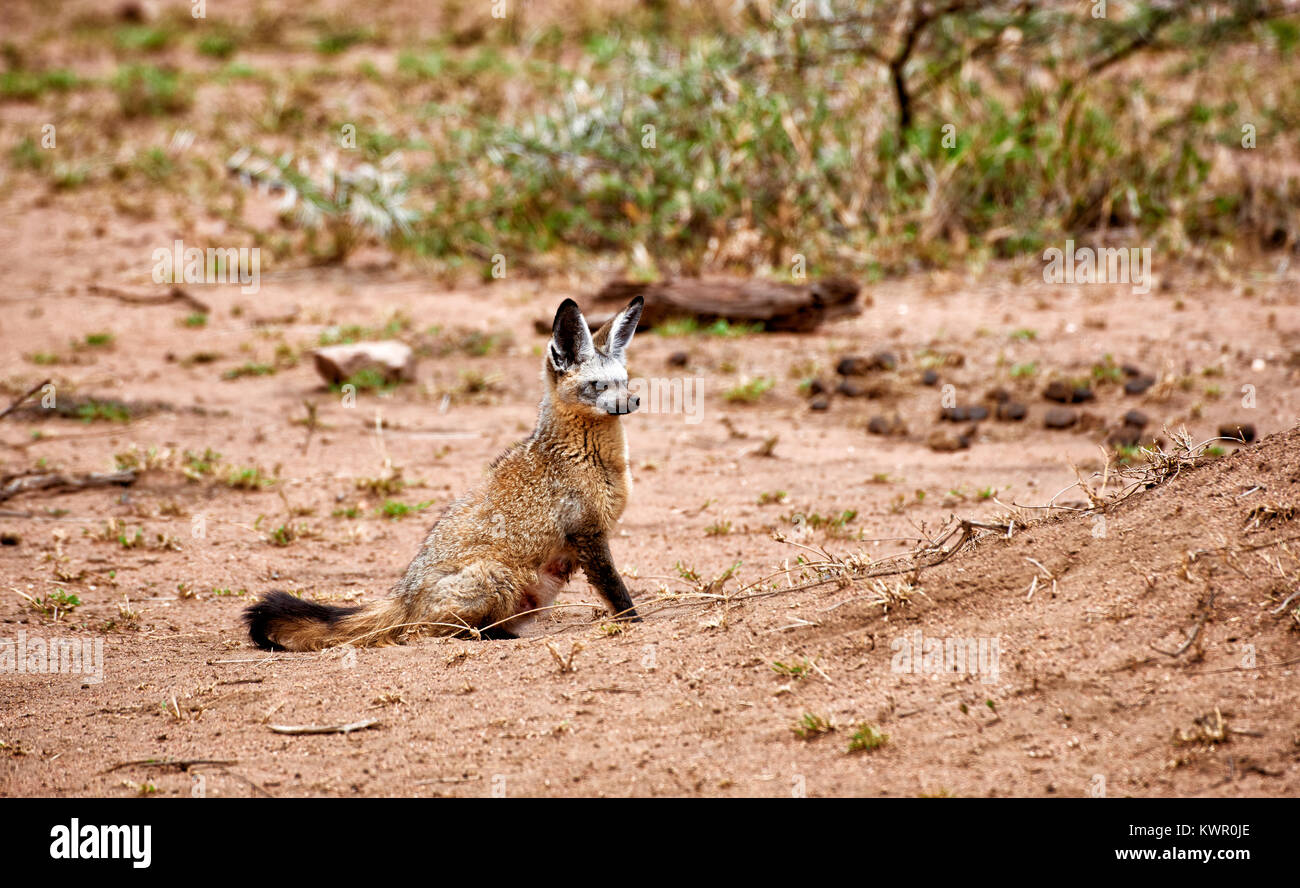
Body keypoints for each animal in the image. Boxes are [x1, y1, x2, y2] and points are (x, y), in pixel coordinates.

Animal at [243, 295, 645, 651]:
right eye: (597, 385)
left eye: (625, 380)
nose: (635, 401)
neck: (588, 455)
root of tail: (403, 593)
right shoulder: (587, 533)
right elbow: (617, 591)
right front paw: (636, 622)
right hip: (496, 577)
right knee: (426, 632)